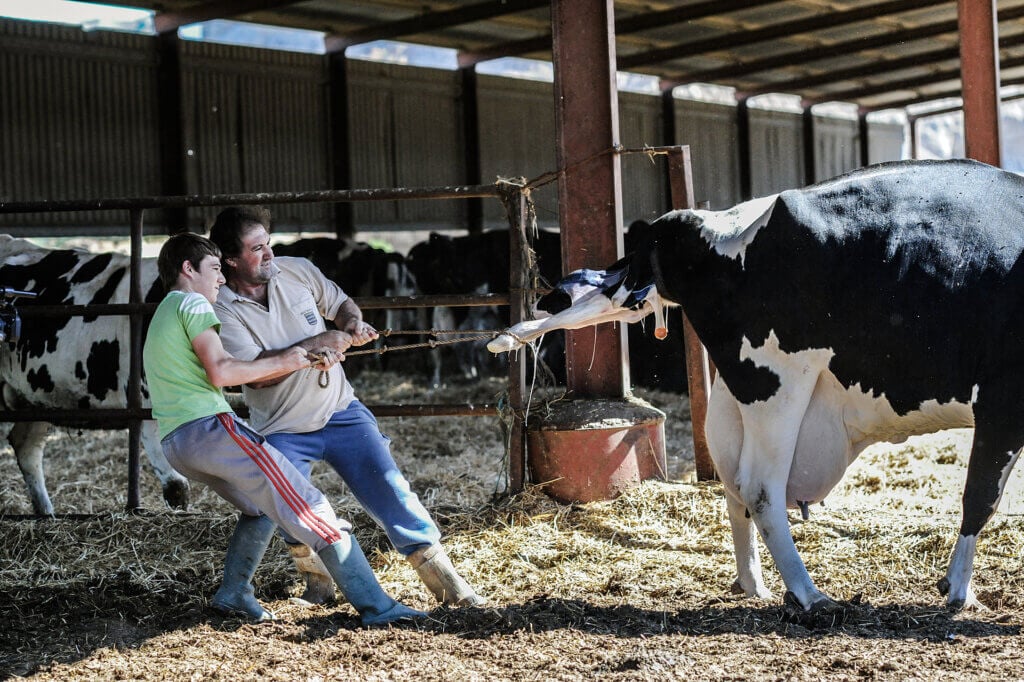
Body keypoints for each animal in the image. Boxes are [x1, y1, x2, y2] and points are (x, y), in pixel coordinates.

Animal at [488, 158, 1024, 615]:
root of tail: (694, 221)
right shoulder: (1003, 402)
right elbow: (981, 495)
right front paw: (960, 591)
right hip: (777, 385)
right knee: (761, 487)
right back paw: (809, 594)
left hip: (740, 392)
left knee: (733, 482)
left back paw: (754, 582)